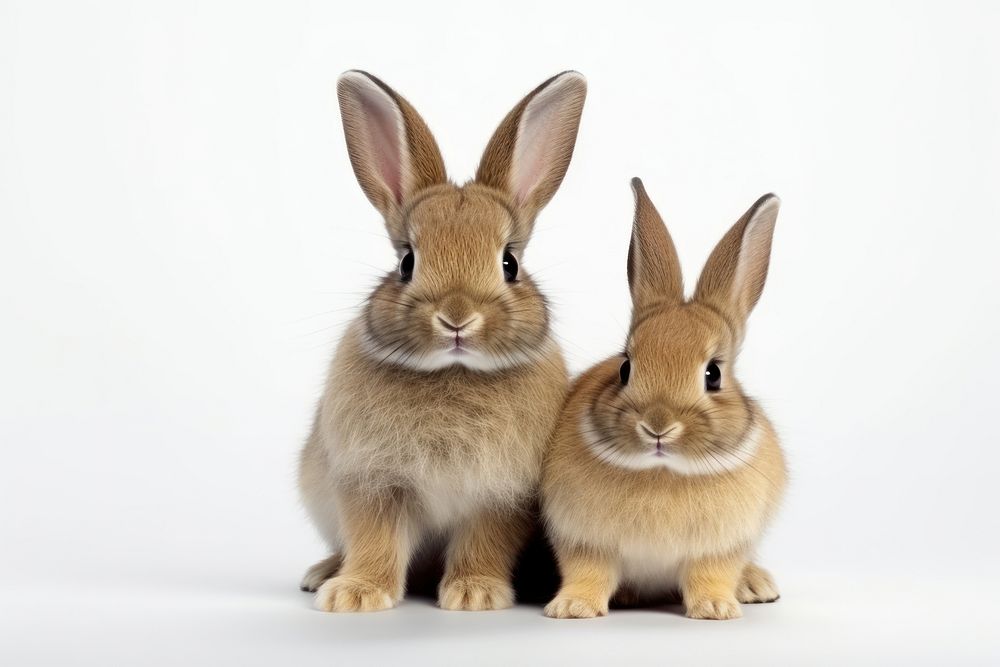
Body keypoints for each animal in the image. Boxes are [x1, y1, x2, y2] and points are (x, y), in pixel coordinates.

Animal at [298, 70, 587, 612]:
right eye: (407, 262)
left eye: (509, 263)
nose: (456, 318)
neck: (454, 373)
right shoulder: (373, 482)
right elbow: (374, 540)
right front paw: (356, 594)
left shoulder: (498, 495)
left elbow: (483, 542)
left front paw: (475, 594)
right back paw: (322, 573)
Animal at [541, 178, 787, 620]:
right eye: (625, 368)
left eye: (713, 374)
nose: (658, 426)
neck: (663, 471)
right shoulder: (584, 541)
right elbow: (588, 572)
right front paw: (572, 607)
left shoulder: (719, 548)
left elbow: (710, 575)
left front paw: (715, 609)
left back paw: (754, 585)